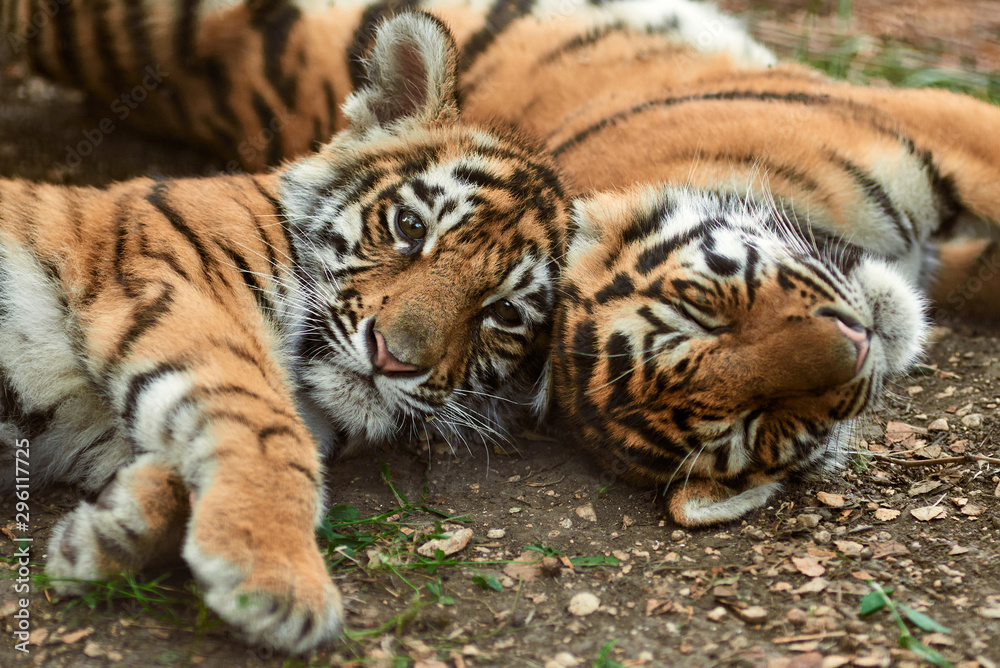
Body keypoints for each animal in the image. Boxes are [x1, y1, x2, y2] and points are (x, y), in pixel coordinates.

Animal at [0, 11, 571, 652]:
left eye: (504, 313)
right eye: (409, 226)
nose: (392, 358)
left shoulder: (94, 432)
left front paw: (107, 531)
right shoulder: (172, 281)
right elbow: (266, 426)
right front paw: (274, 579)